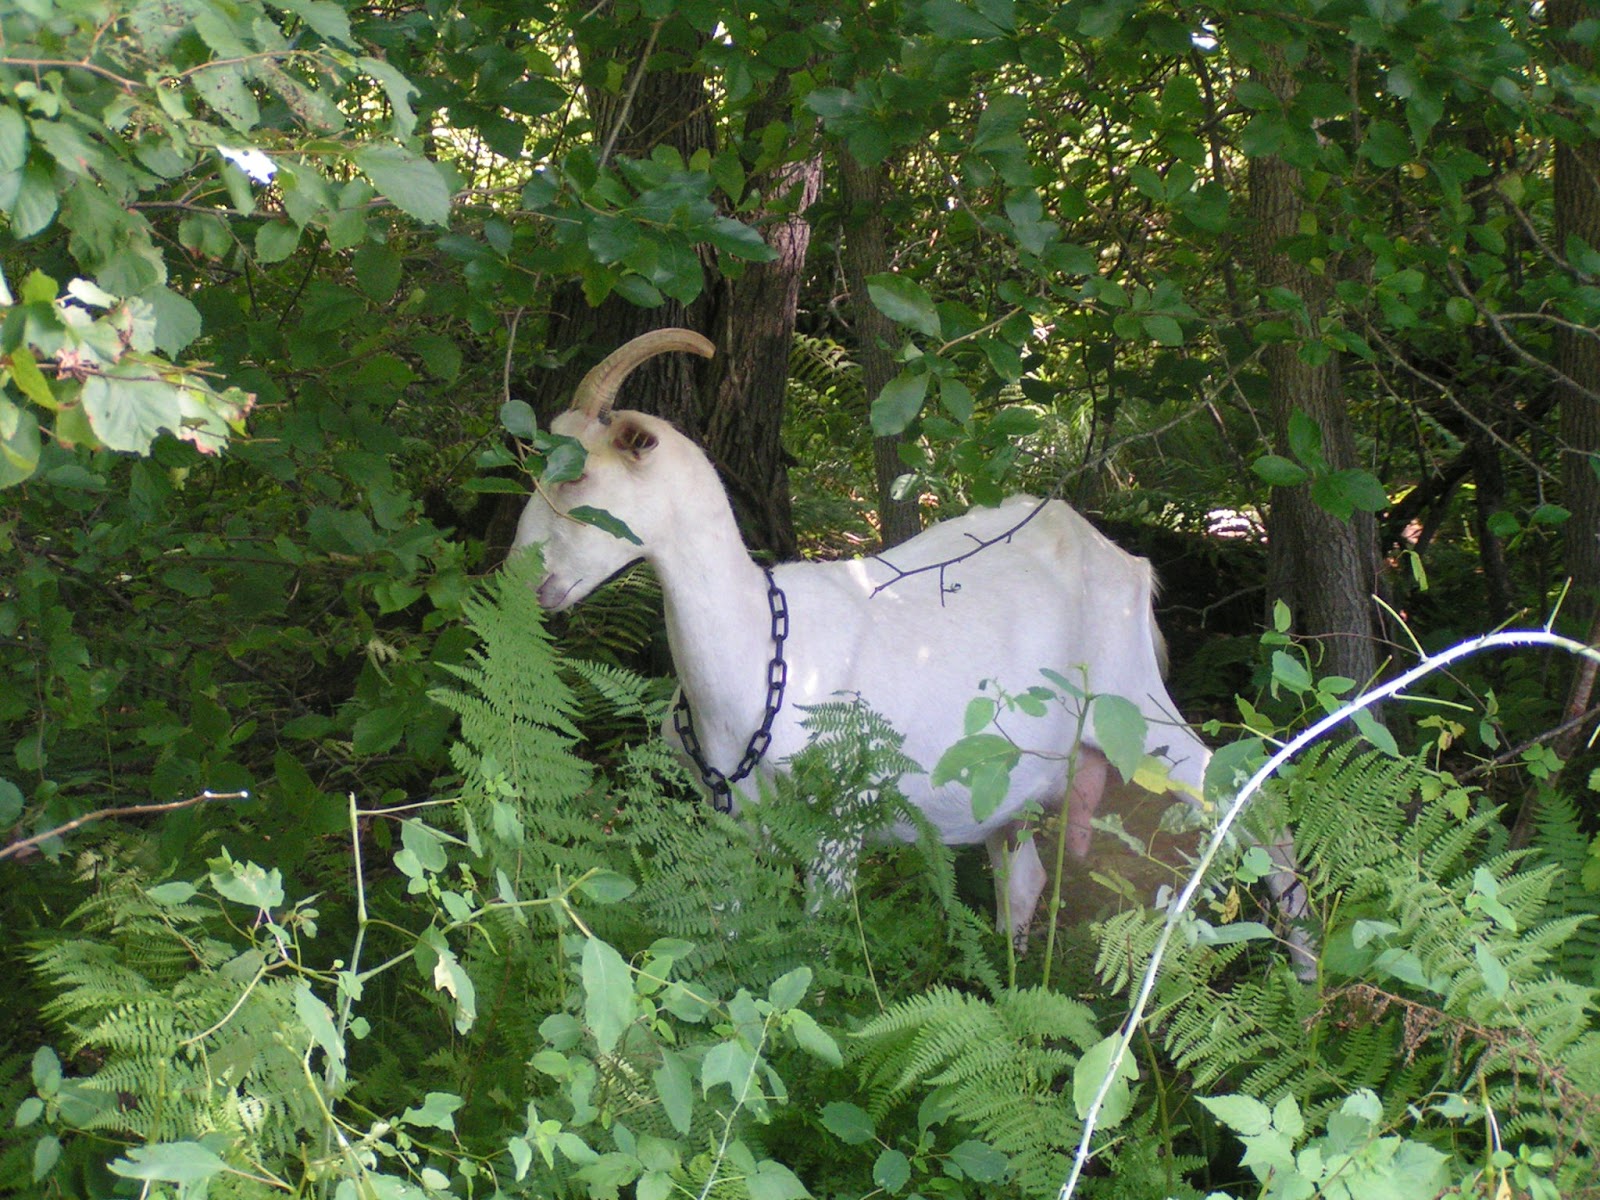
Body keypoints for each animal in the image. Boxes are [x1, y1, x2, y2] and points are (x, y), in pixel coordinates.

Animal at [513, 329, 1312, 972]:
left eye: (580, 474)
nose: (528, 580)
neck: (759, 649)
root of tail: (1126, 562)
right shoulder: (734, 822)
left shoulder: (839, 821)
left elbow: (818, 947)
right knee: (1024, 881)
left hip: (1135, 707)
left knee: (1251, 798)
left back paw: (1302, 978)